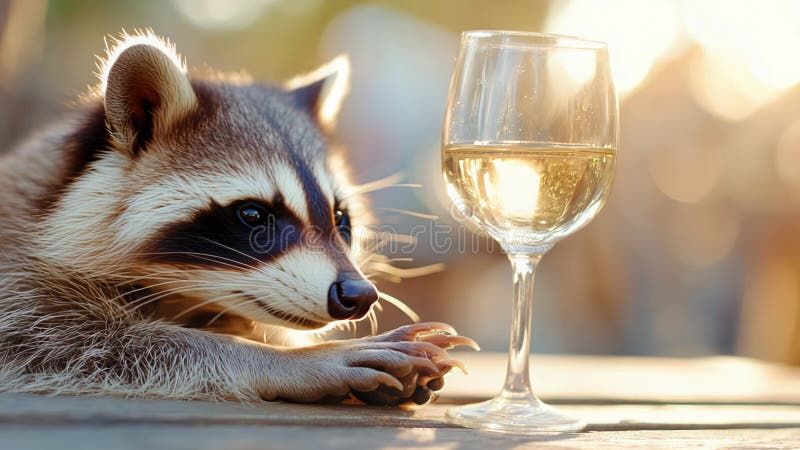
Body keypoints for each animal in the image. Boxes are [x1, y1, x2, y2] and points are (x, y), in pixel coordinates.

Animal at [0, 31, 476, 405]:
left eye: (341, 218)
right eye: (252, 214)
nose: (359, 295)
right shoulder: (18, 280)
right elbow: (66, 342)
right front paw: (289, 360)